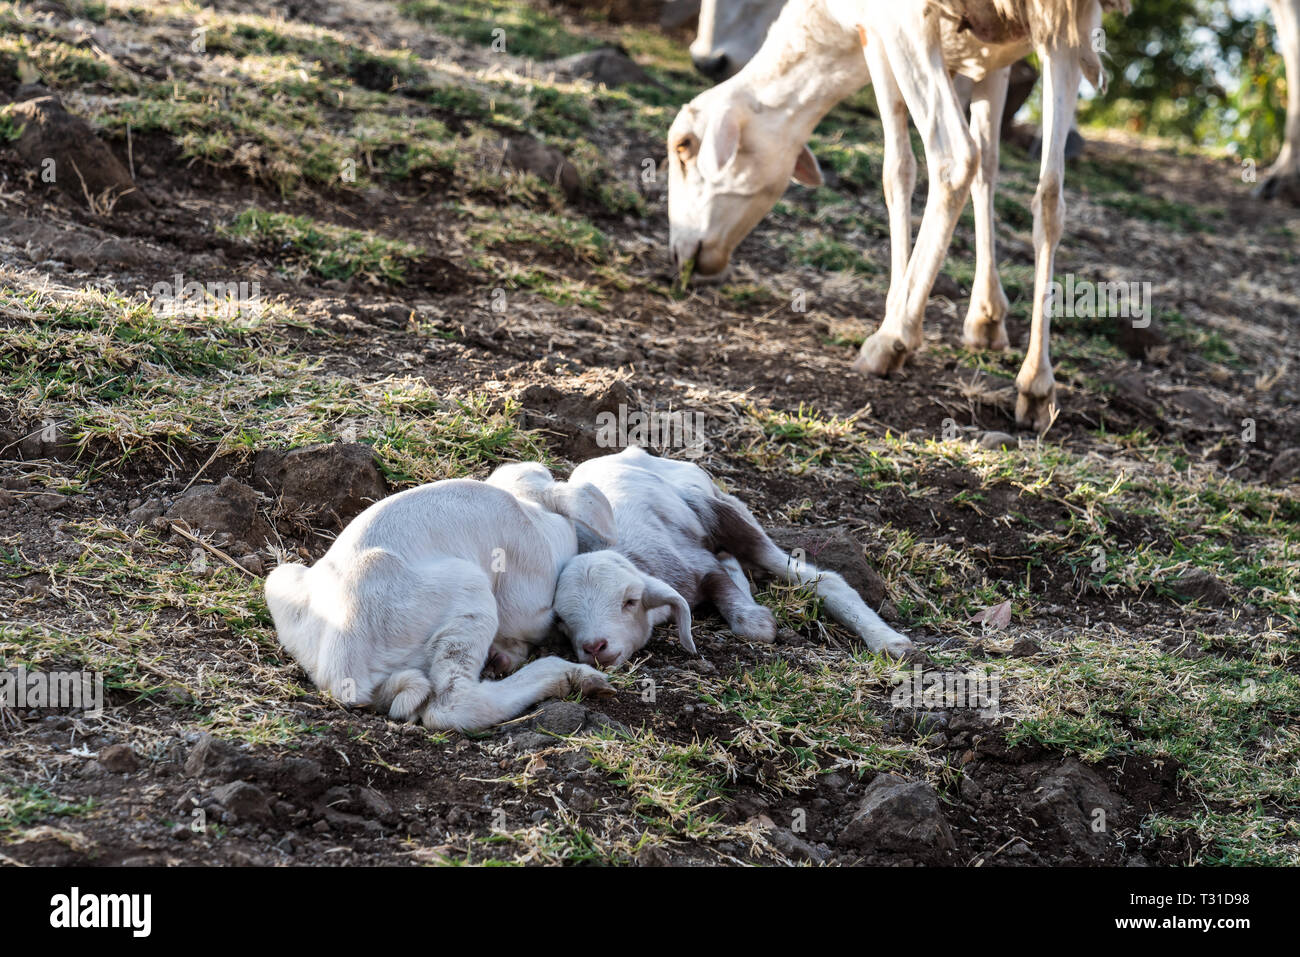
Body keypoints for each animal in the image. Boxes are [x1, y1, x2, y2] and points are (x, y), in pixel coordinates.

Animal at [264, 462, 616, 732]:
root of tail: (342, 665)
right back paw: (569, 675)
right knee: (451, 706)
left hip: (281, 583)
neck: (532, 508)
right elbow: (528, 623)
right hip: (469, 593)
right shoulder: (527, 584)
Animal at [552, 446, 913, 669]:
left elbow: (749, 622)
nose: (594, 647)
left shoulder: (694, 564)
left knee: (822, 579)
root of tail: (631, 452)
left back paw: (889, 642)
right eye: (562, 620)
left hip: (719, 508)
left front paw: (756, 617)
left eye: (629, 601)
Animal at [668, 0, 1129, 432]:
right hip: (1065, 31)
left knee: (954, 158)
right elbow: (990, 166)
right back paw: (1036, 386)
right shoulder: (995, 55)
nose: (678, 254)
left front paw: (898, 304)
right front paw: (985, 316)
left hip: (912, 21)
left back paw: (890, 340)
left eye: (683, 147)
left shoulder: (874, 32)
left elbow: (898, 170)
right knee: (1049, 196)